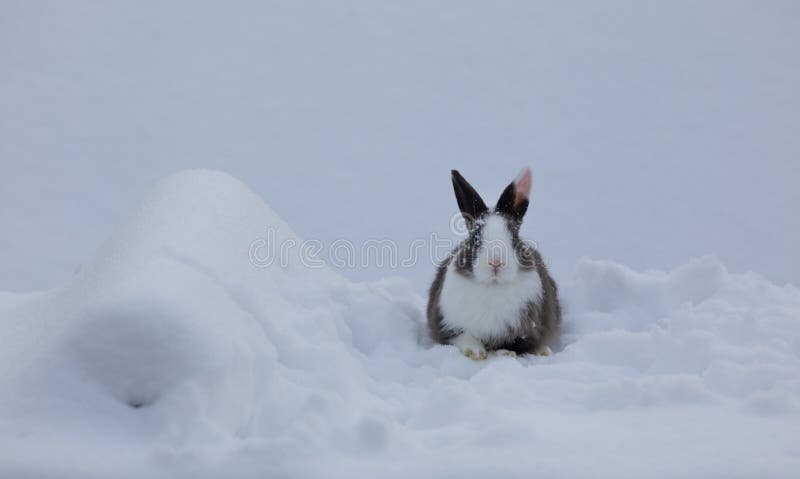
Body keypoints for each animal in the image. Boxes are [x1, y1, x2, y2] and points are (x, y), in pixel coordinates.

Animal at [427, 167, 561, 360]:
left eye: (514, 238)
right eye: (475, 239)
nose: (496, 262)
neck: (493, 286)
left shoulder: (528, 329)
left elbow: (517, 344)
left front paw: (505, 353)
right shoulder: (448, 325)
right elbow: (464, 337)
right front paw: (475, 352)